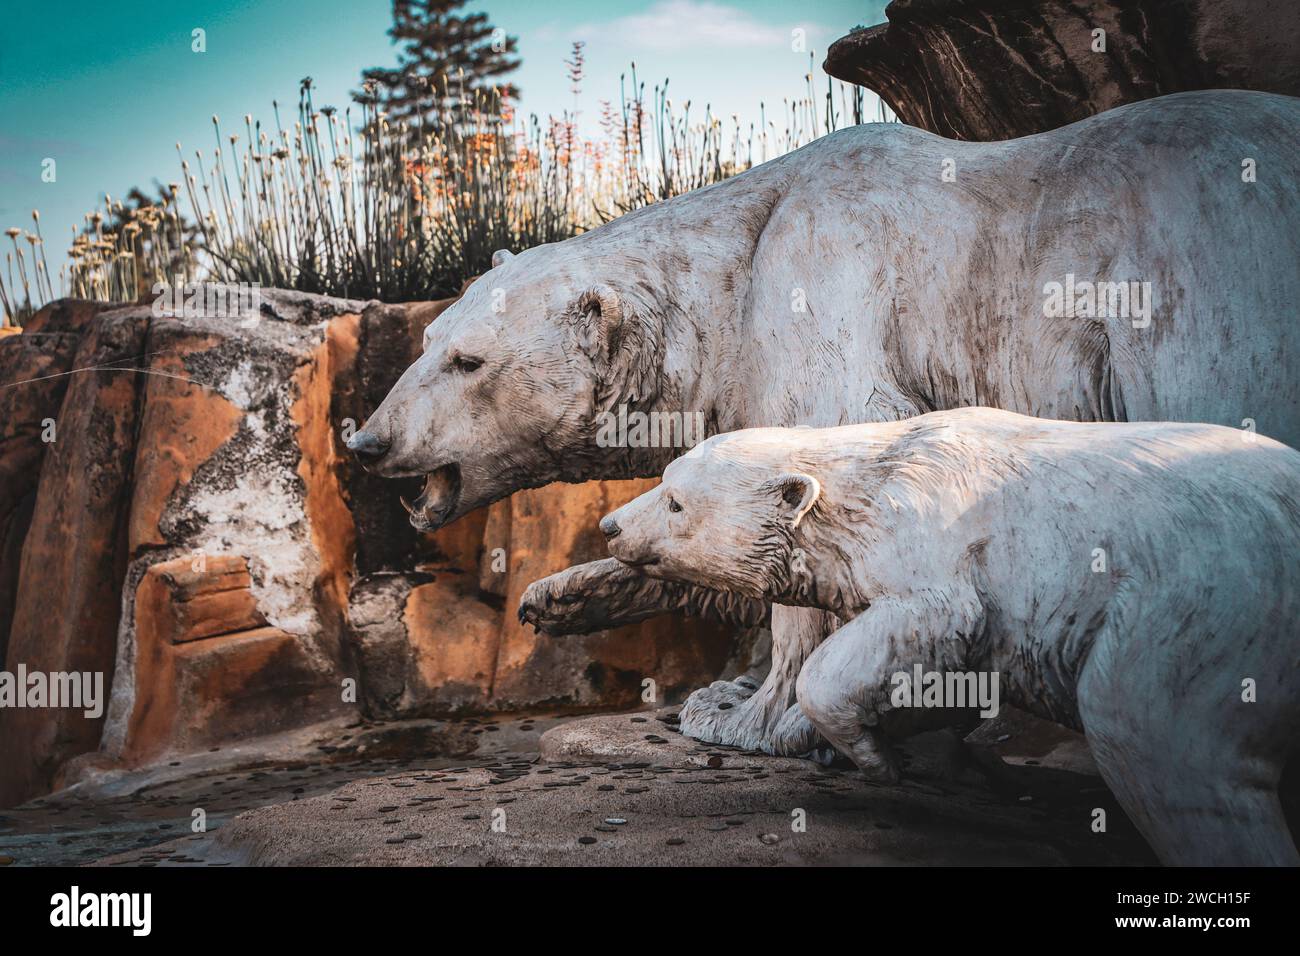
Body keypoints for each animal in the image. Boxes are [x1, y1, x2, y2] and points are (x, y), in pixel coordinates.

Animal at [350, 89, 1300, 759]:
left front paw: (750, 717)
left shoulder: (822, 289)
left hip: (1200, 291)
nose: (367, 441)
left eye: (468, 361)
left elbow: (814, 502)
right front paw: (568, 595)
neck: (733, 265)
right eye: (427, 341)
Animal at [594, 407, 1300, 866]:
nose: (608, 525)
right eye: (664, 483)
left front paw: (868, 754)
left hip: (1197, 606)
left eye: (676, 502)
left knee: (1152, 735)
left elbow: (929, 618)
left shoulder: (937, 541)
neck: (874, 481)